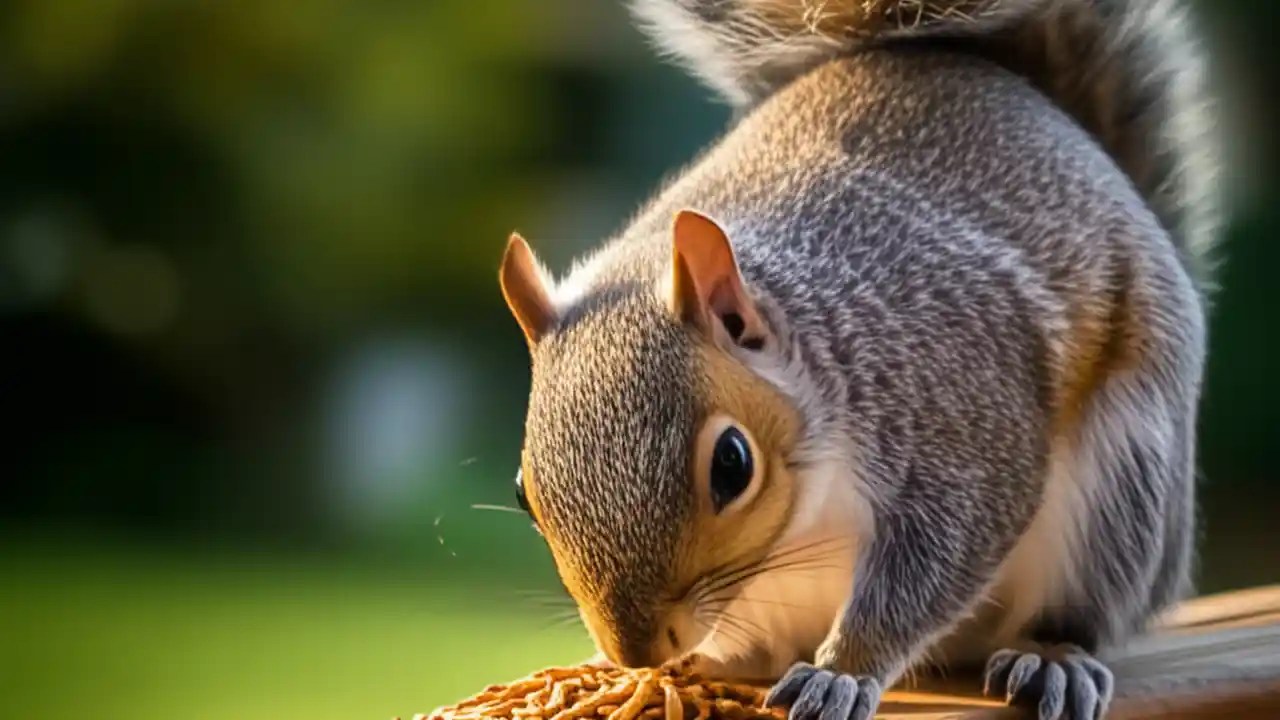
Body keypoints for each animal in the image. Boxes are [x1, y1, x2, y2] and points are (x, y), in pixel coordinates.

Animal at [497, 1, 1220, 720]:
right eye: (523, 492)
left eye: (732, 465)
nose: (636, 650)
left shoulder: (961, 408)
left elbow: (940, 556)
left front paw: (840, 673)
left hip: (1123, 482)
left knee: (1087, 597)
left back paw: (1053, 657)